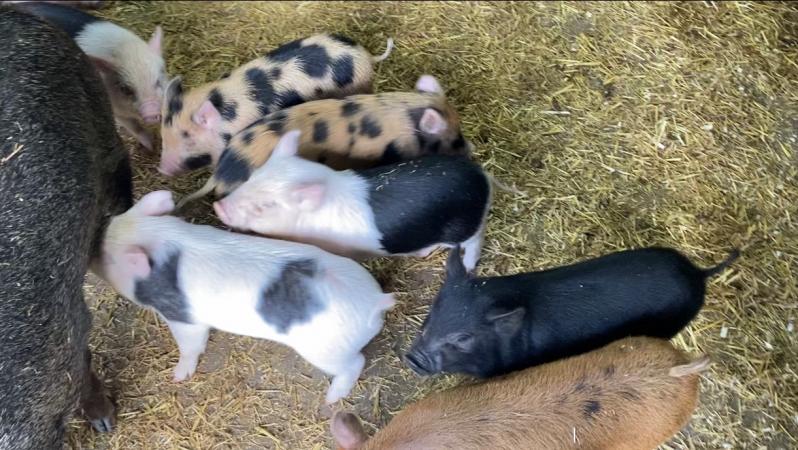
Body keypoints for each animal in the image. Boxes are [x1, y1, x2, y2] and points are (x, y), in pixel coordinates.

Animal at [13, 1, 167, 150]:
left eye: (158, 81)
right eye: (125, 89)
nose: (152, 113)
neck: (124, 50)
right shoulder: (115, 109)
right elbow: (134, 126)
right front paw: (151, 146)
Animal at [98, 190, 395, 404]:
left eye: (109, 259)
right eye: (111, 223)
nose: (93, 249)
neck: (158, 237)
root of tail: (375, 300)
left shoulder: (183, 317)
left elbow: (191, 345)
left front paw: (178, 376)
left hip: (327, 349)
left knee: (355, 363)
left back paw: (331, 399)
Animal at [214, 130, 490, 271]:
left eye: (266, 206)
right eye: (252, 177)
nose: (218, 207)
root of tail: (481, 176)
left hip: (466, 227)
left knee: (475, 242)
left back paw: (467, 266)